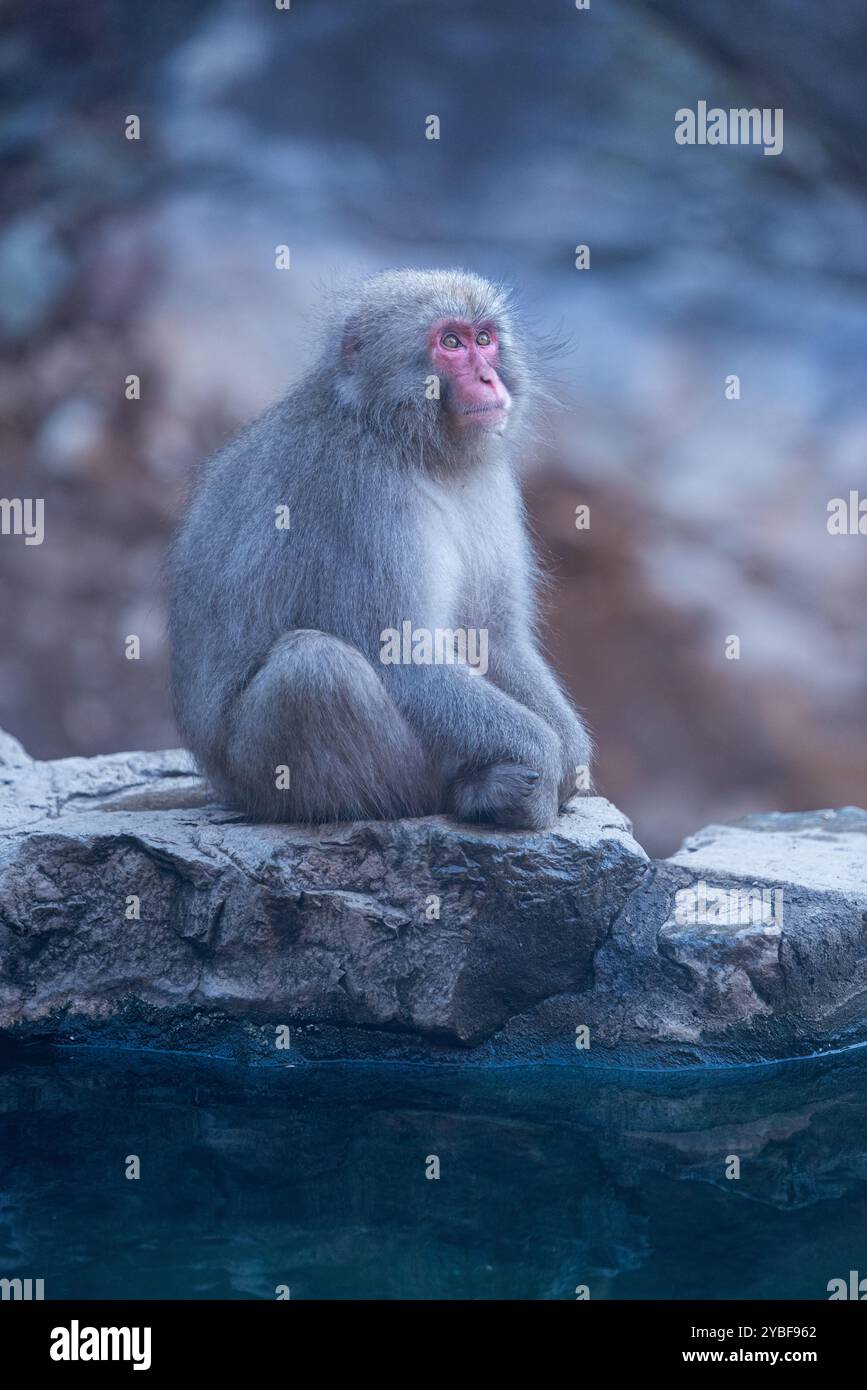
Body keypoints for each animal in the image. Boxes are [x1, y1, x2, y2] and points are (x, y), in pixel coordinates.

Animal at [168, 269, 592, 829]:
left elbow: (493, 637)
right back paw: (473, 792)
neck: (410, 443)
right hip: (262, 778)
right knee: (313, 669)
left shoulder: (491, 484)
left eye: (484, 339)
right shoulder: (361, 497)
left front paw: (572, 757)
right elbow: (401, 656)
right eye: (450, 343)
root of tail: (226, 789)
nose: (488, 379)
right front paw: (544, 759)